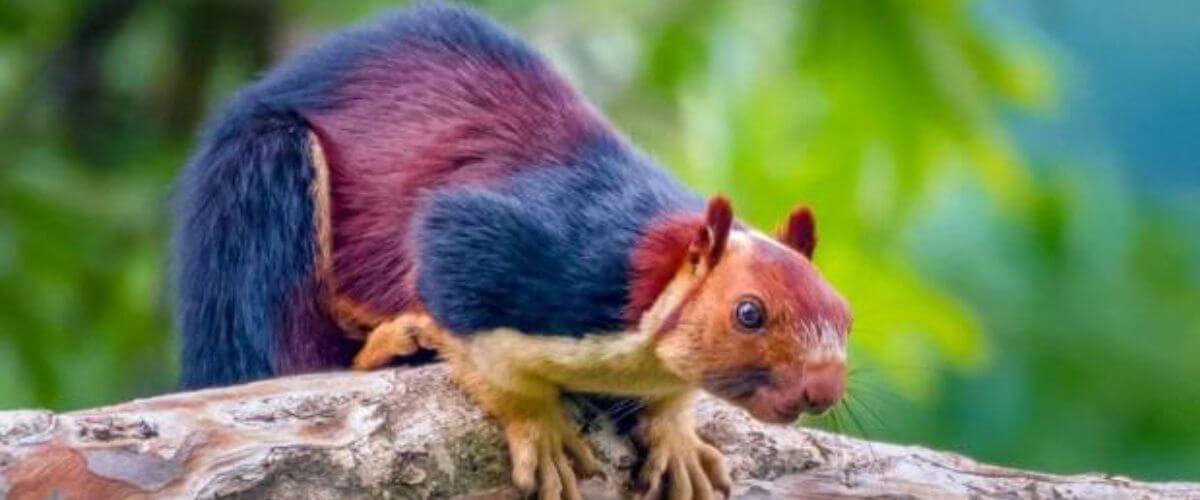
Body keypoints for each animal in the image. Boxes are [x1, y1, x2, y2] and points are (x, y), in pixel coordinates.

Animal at [173, 4, 851, 499]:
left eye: (845, 315)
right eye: (748, 313)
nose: (823, 390)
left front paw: (676, 431)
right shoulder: (524, 253)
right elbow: (470, 319)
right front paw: (537, 424)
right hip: (263, 185)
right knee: (283, 356)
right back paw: (393, 345)